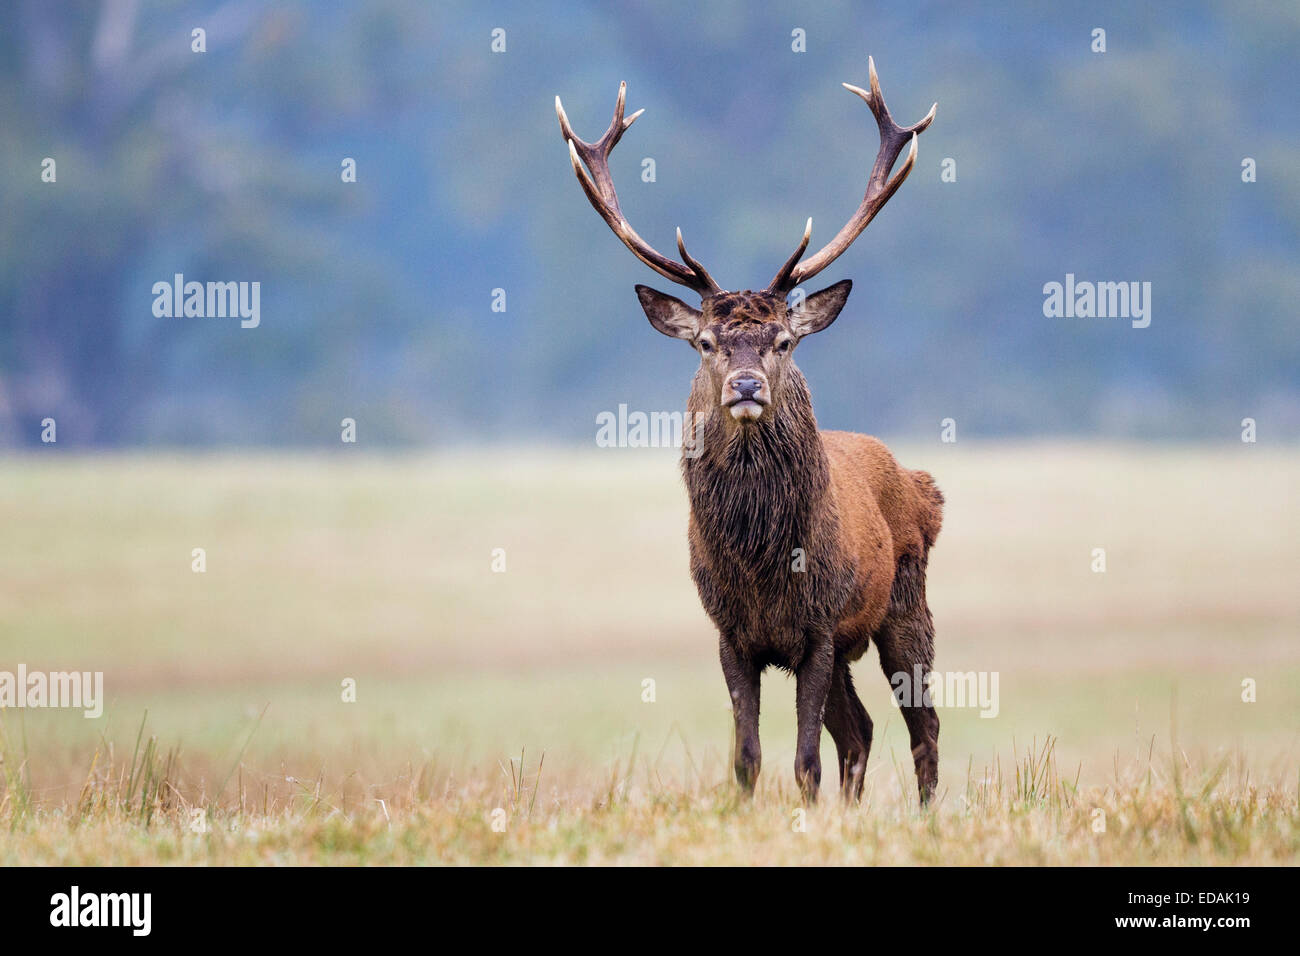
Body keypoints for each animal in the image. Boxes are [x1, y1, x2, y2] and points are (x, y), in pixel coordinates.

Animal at [556, 58, 943, 805]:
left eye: (784, 341)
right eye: (707, 342)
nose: (745, 386)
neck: (763, 566)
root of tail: (922, 485)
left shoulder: (819, 627)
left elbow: (805, 759)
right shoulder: (730, 633)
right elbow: (747, 756)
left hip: (905, 604)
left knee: (923, 724)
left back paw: (929, 817)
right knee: (861, 731)